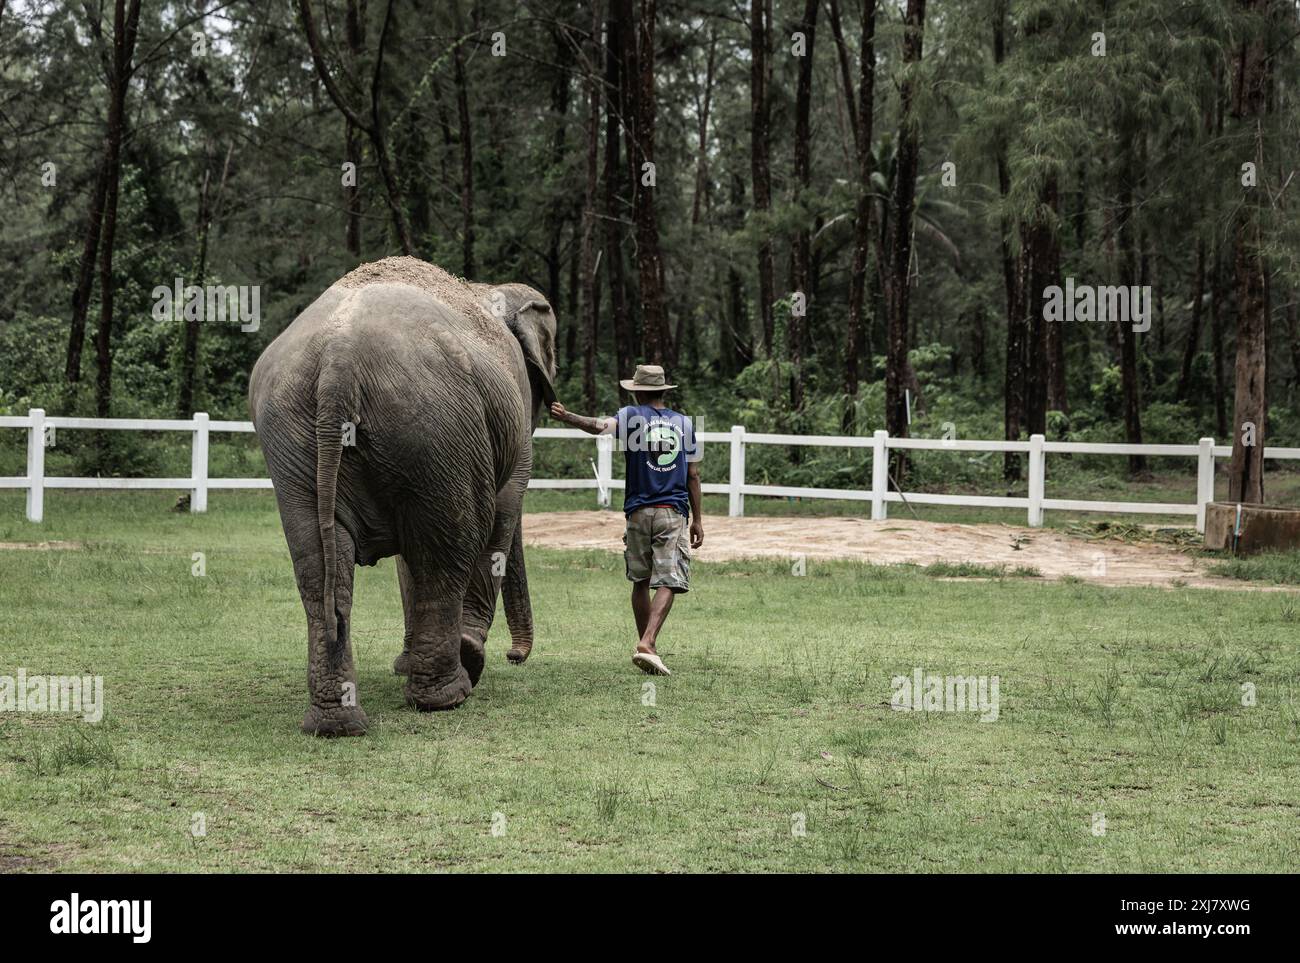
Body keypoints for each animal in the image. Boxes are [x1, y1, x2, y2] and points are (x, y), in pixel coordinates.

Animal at [249, 256, 557, 736]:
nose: (514, 656)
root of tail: (339, 359)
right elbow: (501, 515)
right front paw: (469, 654)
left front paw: (407, 663)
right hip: (435, 428)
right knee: (447, 548)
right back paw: (447, 694)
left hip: (295, 438)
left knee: (319, 563)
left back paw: (336, 724)